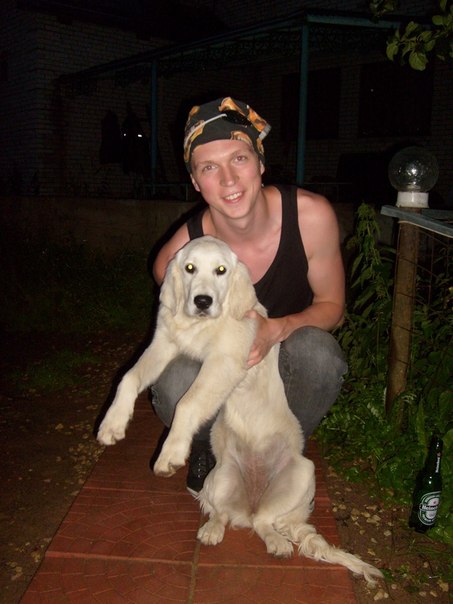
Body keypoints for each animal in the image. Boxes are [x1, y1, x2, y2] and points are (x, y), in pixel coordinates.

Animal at [97, 235, 382, 584]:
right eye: (189, 268)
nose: (202, 301)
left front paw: (170, 454)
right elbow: (128, 377)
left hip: (301, 474)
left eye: (221, 270)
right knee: (224, 513)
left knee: (264, 521)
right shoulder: (164, 345)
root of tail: (251, 504)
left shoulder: (226, 362)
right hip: (220, 478)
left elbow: (188, 402)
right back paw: (213, 530)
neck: (200, 325)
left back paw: (276, 542)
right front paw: (112, 424)